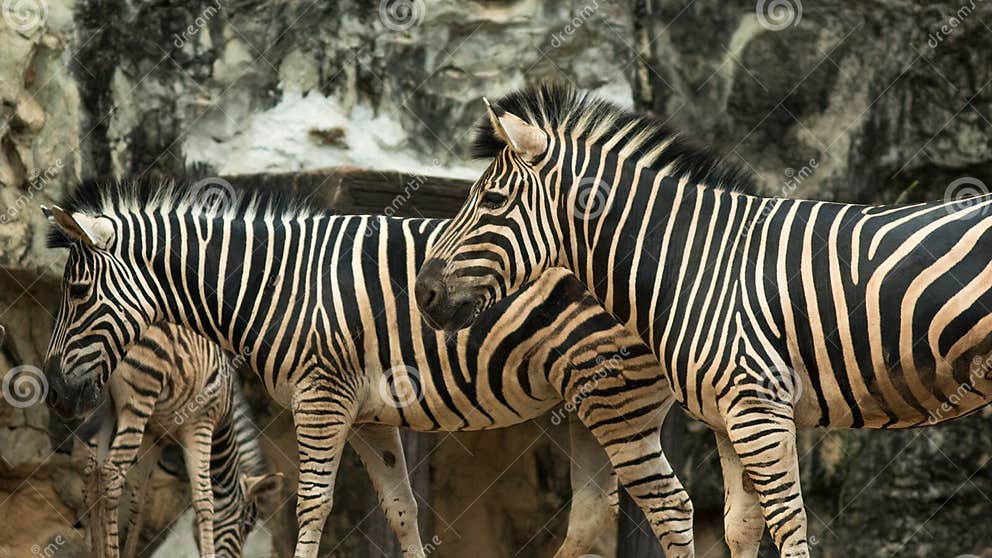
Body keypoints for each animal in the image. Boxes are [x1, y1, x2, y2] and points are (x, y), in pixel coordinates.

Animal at [80, 322, 283, 558]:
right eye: (246, 525)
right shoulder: (200, 424)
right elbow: (204, 499)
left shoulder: (154, 435)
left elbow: (139, 501)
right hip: (137, 402)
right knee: (111, 472)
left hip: (104, 408)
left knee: (93, 475)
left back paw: (94, 549)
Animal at [415, 82, 992, 558]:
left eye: (491, 200)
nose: (422, 293)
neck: (699, 262)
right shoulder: (728, 417)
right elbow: (741, 528)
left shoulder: (759, 409)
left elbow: (789, 527)